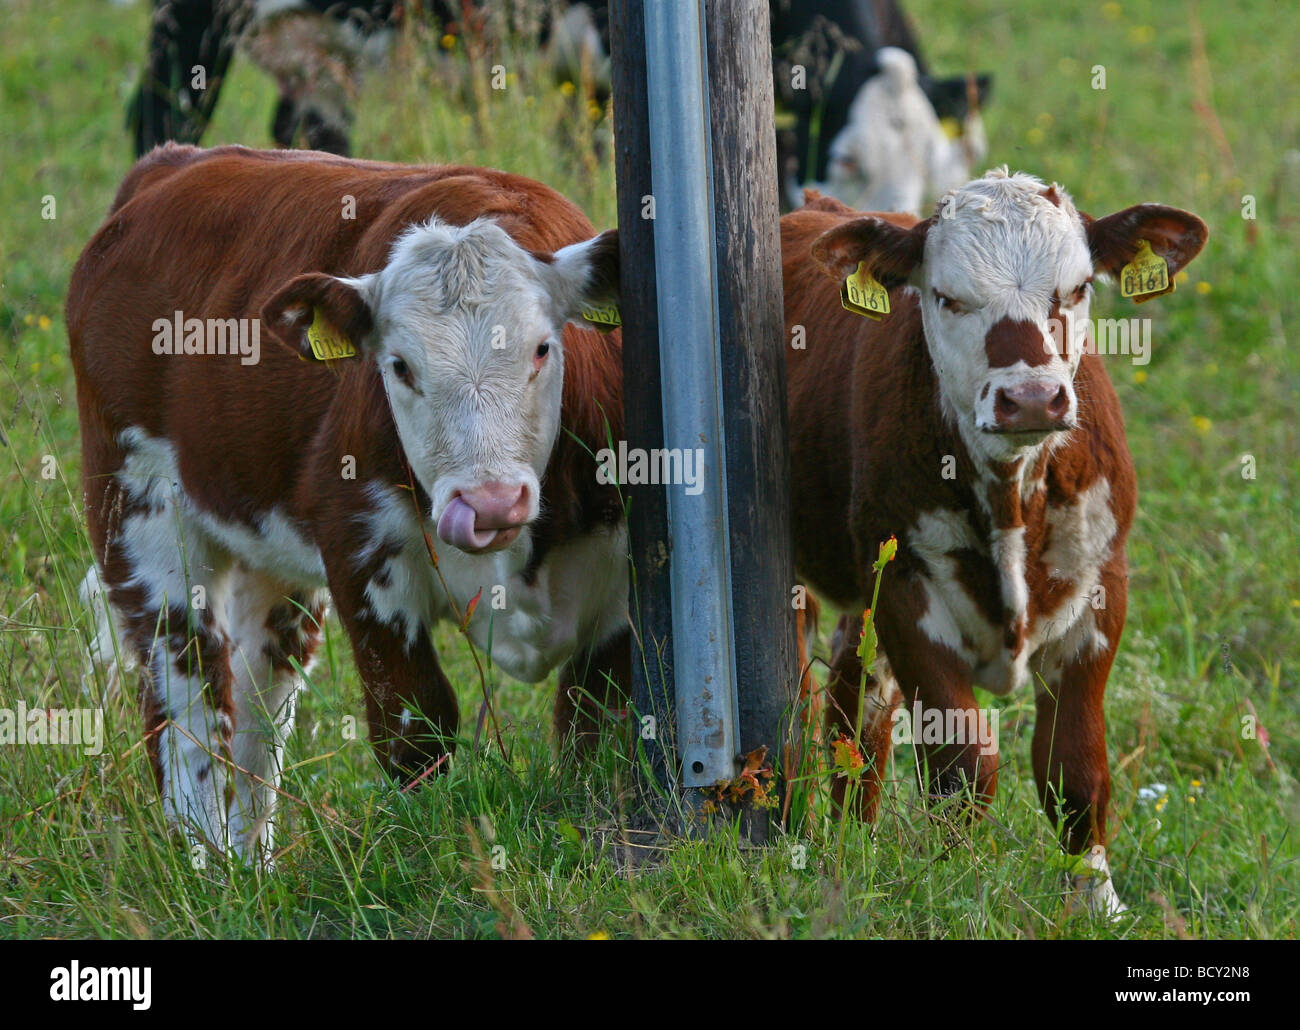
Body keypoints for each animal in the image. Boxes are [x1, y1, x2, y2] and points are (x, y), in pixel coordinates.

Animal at [67, 144, 626, 863]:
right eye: (400, 366)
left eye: (542, 348)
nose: (491, 503)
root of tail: (173, 164)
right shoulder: (363, 556)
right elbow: (415, 729)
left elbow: (597, 730)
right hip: (137, 513)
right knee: (188, 692)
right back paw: (206, 866)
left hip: (270, 559)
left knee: (260, 699)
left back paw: (251, 869)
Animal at [782, 172, 1207, 915]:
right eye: (946, 296)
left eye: (1078, 288)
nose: (1032, 397)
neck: (1012, 497)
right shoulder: (907, 592)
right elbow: (962, 765)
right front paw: (958, 887)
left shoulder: (1102, 589)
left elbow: (1074, 767)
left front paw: (1095, 898)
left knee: (856, 706)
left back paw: (851, 845)